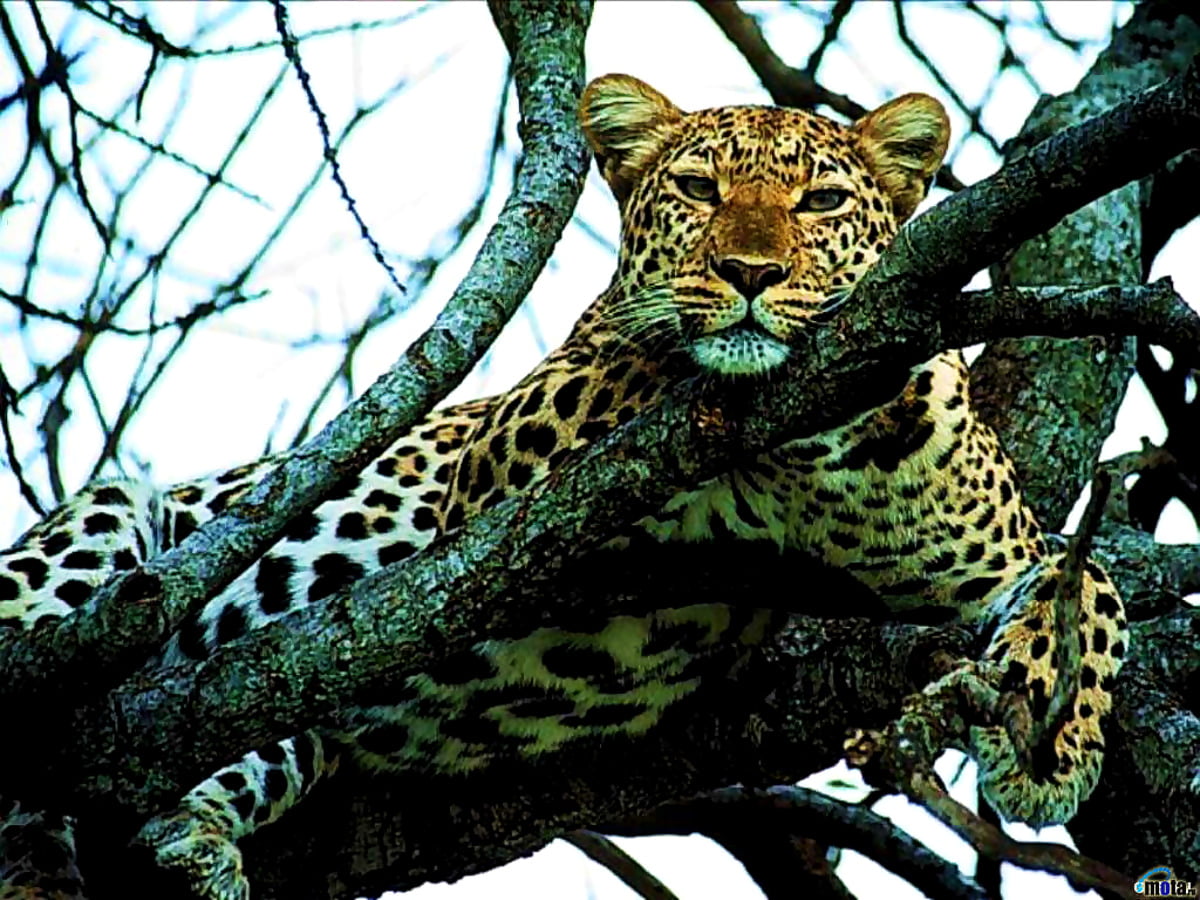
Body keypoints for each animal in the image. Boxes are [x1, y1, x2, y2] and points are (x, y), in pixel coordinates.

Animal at [0, 74, 1128, 900]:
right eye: (698, 192)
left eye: (820, 202)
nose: (750, 274)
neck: (800, 461)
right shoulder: (503, 456)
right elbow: (640, 358)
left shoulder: (996, 542)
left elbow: (1090, 585)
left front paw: (1056, 742)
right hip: (102, 530)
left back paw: (186, 840)